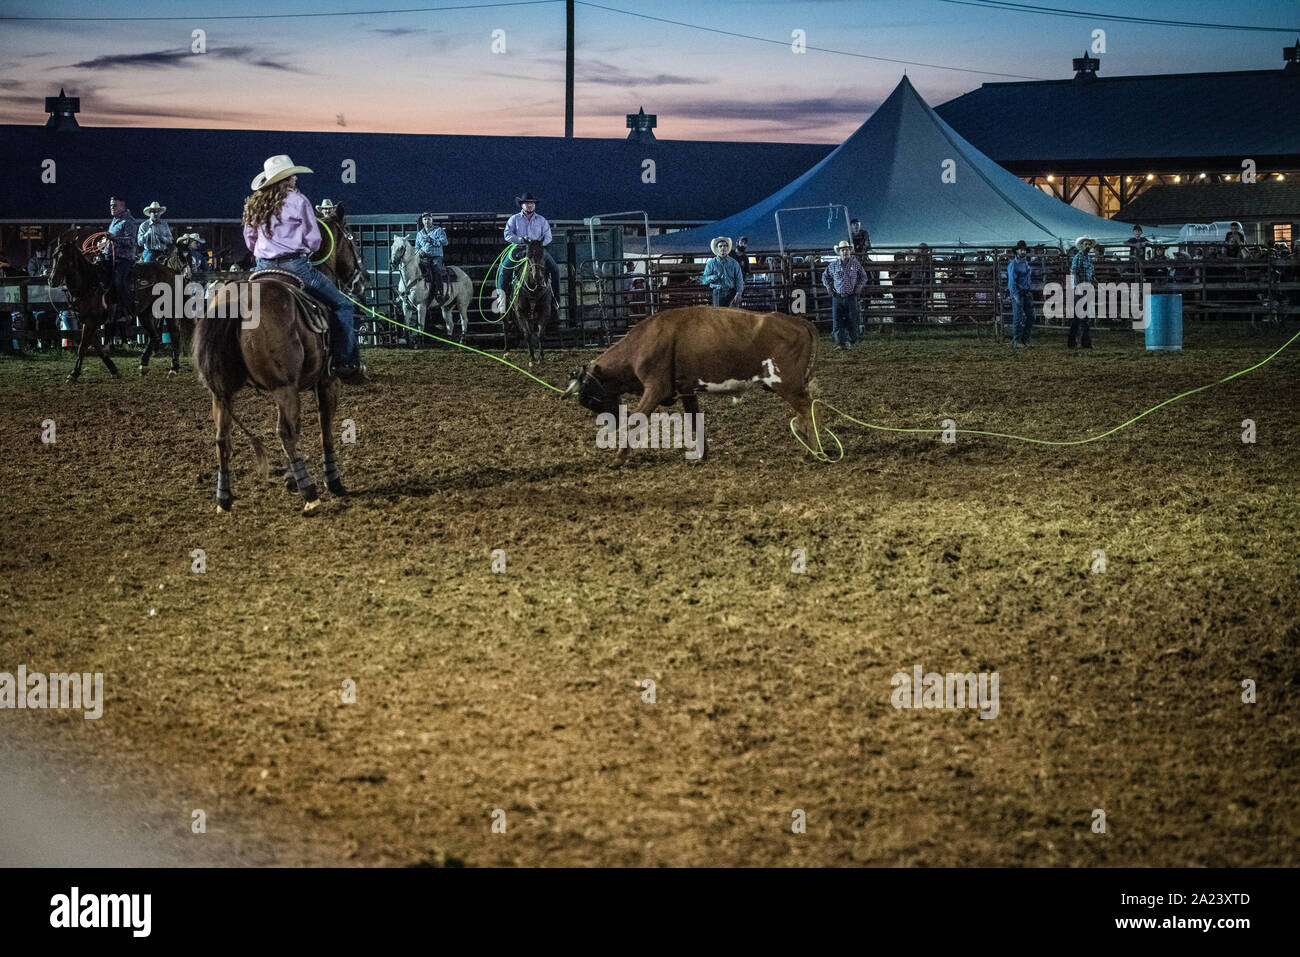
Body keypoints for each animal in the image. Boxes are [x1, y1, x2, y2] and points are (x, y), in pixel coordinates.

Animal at [47, 235, 187, 382]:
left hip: (169, 310)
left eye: (67, 258)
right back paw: (143, 365)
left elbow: (83, 347)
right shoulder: (87, 321)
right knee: (155, 336)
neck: (89, 283)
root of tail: (173, 272)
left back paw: (173, 368)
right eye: (54, 255)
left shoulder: (91, 321)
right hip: (145, 313)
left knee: (174, 335)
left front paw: (73, 374)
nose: (52, 280)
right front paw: (113, 369)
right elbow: (97, 348)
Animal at [197, 211, 371, 512]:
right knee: (285, 432)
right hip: (284, 387)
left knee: (222, 437)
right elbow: (324, 428)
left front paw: (292, 478)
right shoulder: (327, 382)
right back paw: (310, 494)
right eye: (351, 239)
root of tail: (239, 300)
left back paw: (224, 498)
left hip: (222, 394)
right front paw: (332, 482)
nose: (363, 280)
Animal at [564, 306, 816, 462]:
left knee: (810, 409)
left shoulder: (655, 389)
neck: (642, 344)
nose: (611, 422)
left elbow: (635, 421)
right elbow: (695, 420)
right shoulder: (686, 390)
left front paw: (618, 457)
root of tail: (798, 322)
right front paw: (702, 455)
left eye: (590, 399)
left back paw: (812, 452)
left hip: (786, 383)